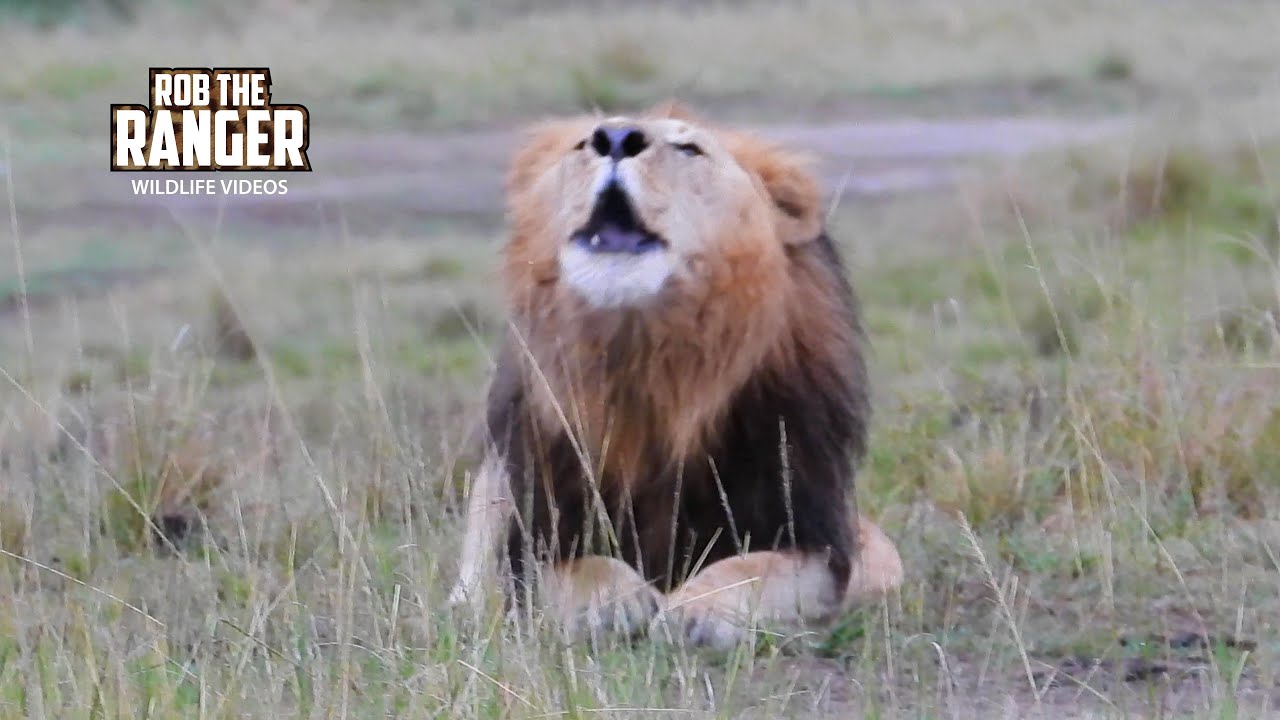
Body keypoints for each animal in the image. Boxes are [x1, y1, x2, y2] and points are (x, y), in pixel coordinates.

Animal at [448, 104, 903, 648]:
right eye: (583, 143)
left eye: (689, 149)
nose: (615, 138)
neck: (646, 361)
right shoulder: (532, 525)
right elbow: (568, 569)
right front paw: (613, 603)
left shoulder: (811, 530)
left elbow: (761, 569)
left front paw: (695, 609)